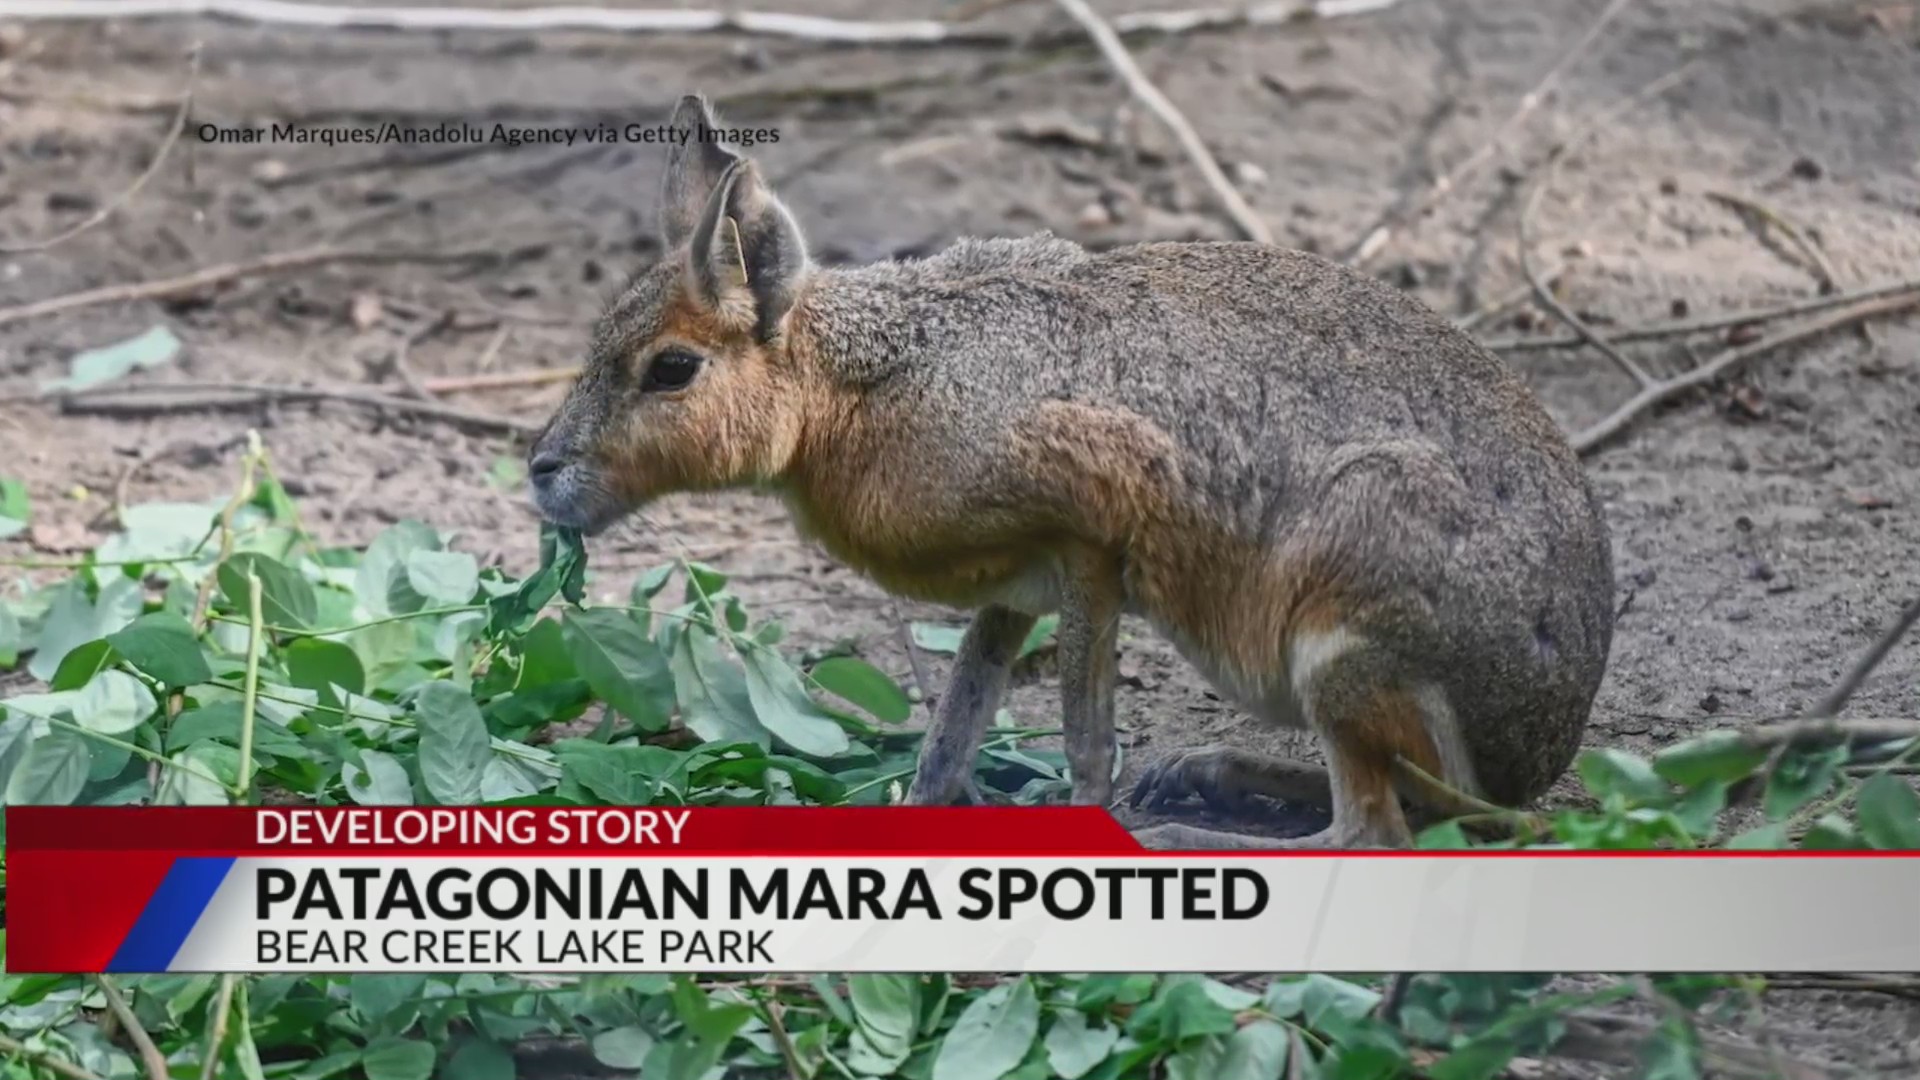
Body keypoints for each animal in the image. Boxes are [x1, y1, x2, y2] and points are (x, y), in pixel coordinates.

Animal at [528, 93, 1615, 849]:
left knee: (1378, 831)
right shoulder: (1013, 587)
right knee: (1428, 815)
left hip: (1342, 634)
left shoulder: (1095, 534)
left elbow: (1085, 734)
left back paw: (1185, 828)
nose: (541, 469)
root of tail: (1539, 744)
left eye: (672, 368)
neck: (868, 390)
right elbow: (957, 716)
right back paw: (1204, 774)